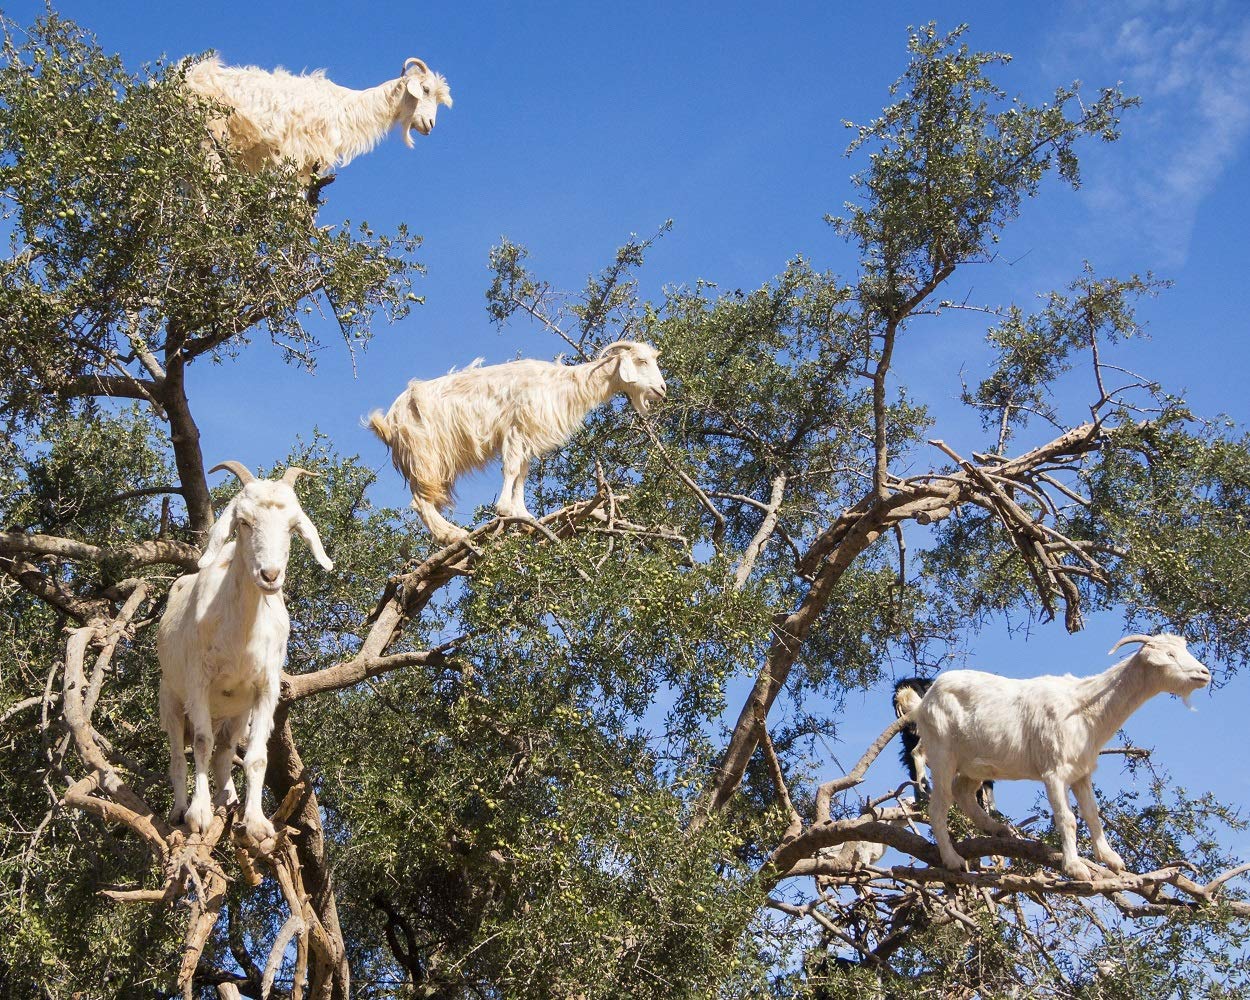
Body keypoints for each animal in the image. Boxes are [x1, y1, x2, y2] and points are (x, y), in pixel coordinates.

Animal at [157, 462, 333, 841]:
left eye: (293, 527)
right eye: (244, 522)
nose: (270, 575)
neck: (241, 635)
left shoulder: (265, 688)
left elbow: (256, 757)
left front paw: (256, 822)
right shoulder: (198, 682)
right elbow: (201, 743)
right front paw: (199, 815)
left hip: (235, 713)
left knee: (224, 754)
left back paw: (229, 800)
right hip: (171, 699)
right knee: (179, 754)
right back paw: (181, 810)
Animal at [183, 55, 452, 184]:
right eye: (425, 89)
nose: (430, 124)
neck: (342, 107)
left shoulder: (307, 165)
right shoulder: (293, 154)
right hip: (208, 143)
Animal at [367, 341, 667, 544]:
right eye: (641, 360)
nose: (662, 390)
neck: (561, 386)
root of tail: (389, 421)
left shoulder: (527, 436)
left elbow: (522, 474)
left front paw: (524, 516)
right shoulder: (515, 429)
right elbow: (511, 469)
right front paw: (504, 509)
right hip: (425, 454)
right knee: (421, 501)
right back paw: (453, 535)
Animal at [908, 634, 1210, 878]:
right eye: (1169, 655)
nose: (1204, 672)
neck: (1085, 708)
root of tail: (924, 701)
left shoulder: (1081, 772)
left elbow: (1092, 814)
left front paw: (1111, 858)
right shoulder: (1054, 773)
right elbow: (1068, 818)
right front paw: (1075, 867)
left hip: (976, 764)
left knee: (962, 791)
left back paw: (997, 829)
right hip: (942, 752)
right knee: (939, 805)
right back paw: (953, 860)